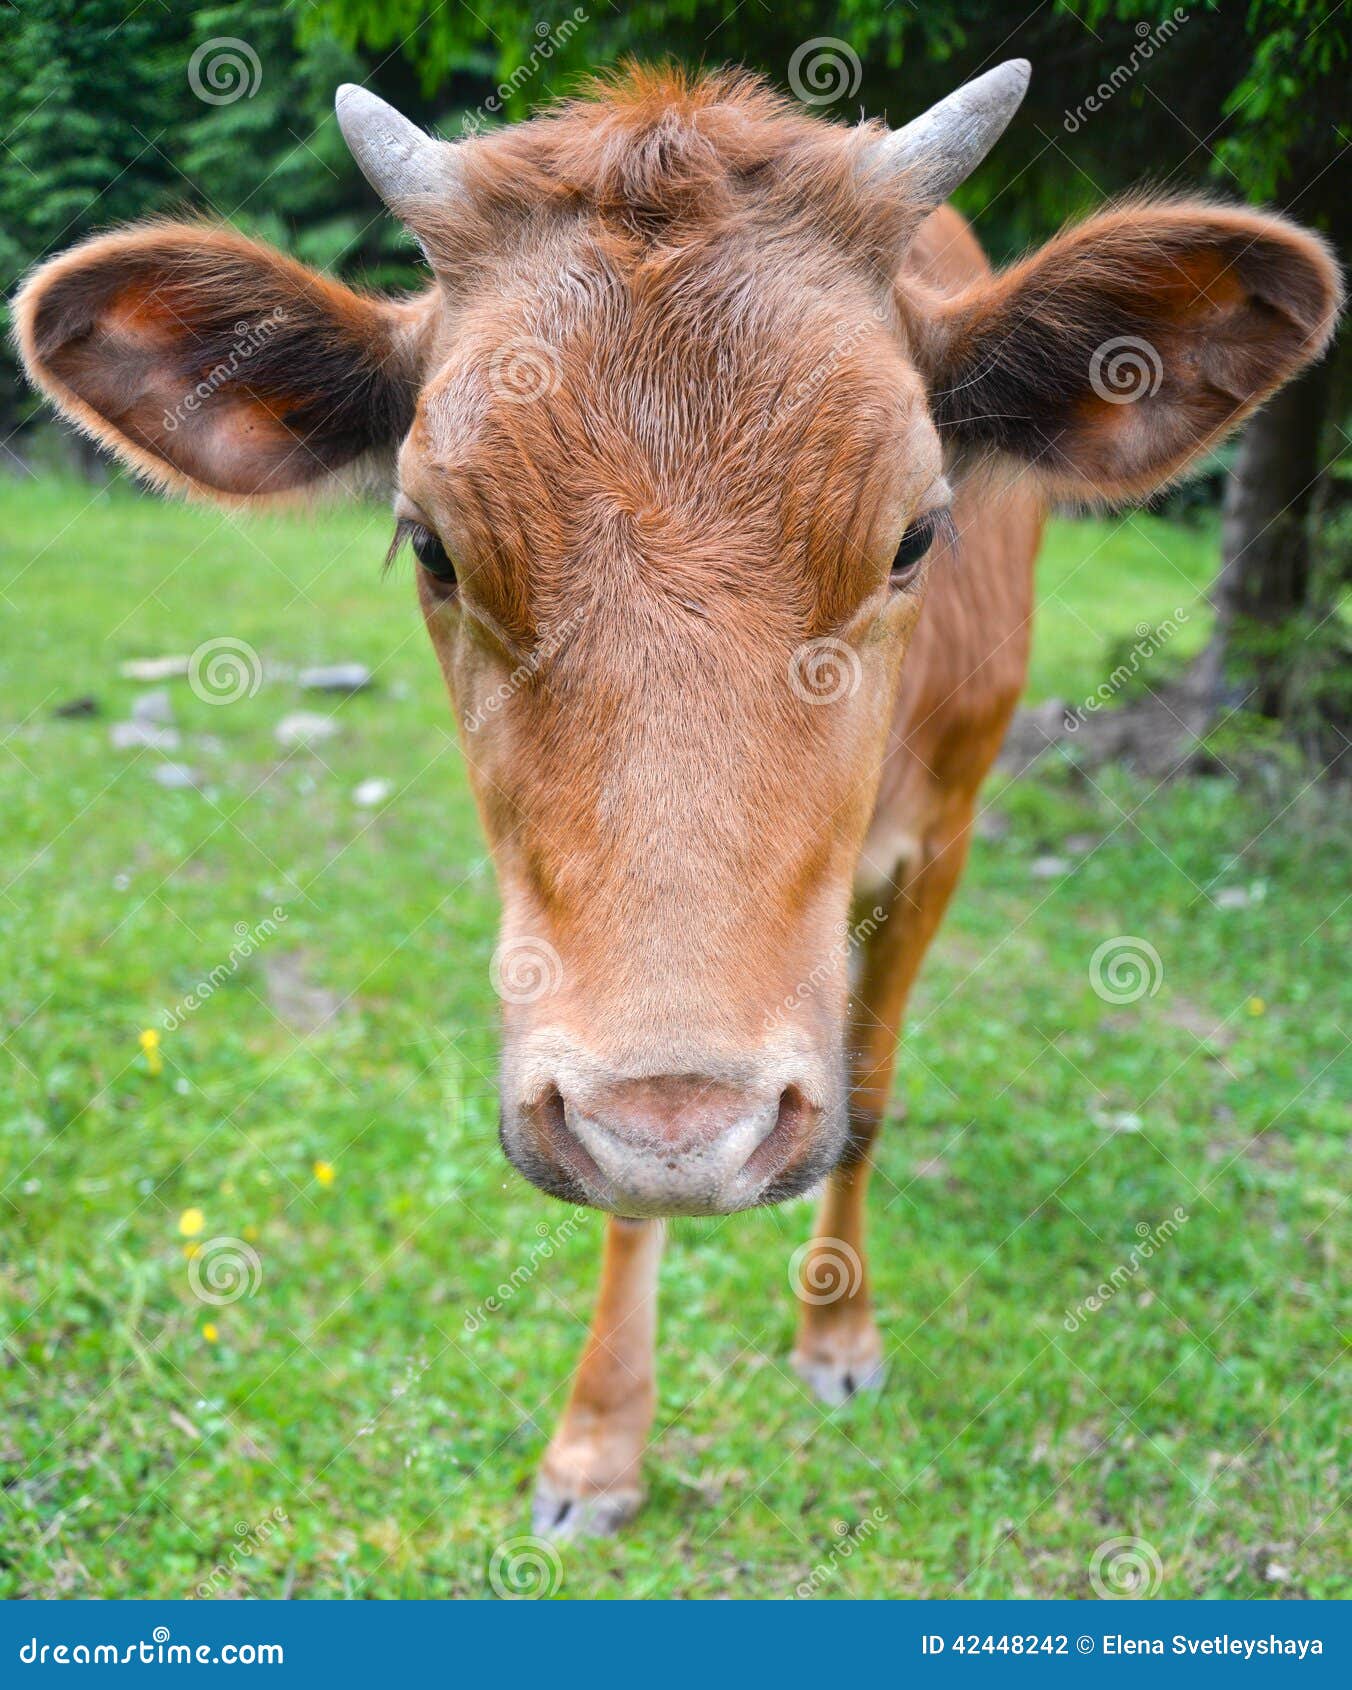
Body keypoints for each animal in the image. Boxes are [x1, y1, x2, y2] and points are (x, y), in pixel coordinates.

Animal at [15, 62, 1340, 1537]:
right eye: (432, 544)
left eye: (915, 534)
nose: (694, 1124)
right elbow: (624, 1191)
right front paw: (597, 1446)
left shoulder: (940, 841)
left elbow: (868, 1091)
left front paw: (837, 1336)